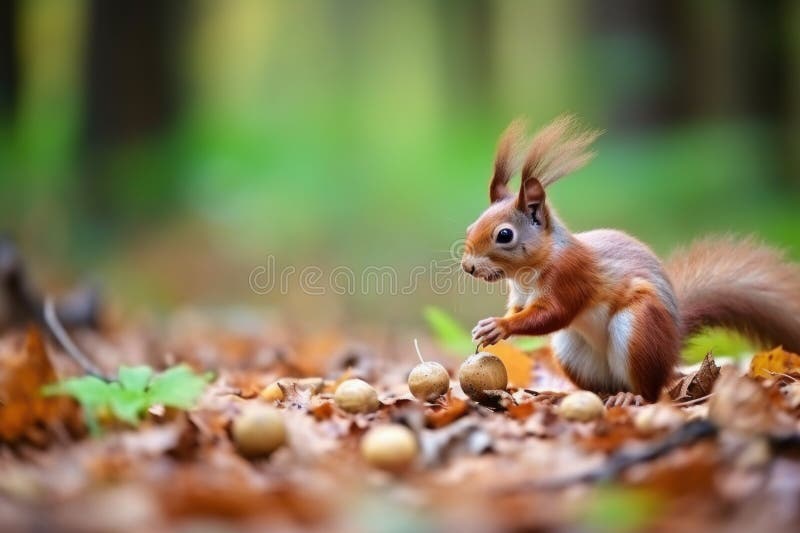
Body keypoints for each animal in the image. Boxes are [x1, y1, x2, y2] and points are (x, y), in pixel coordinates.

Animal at [461, 116, 800, 404]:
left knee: (649, 391)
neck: (529, 271)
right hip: (573, 351)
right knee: (604, 385)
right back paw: (586, 394)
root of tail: (670, 348)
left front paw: (500, 326)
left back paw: (631, 397)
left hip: (639, 328)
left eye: (505, 235)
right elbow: (521, 310)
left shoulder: (570, 277)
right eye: (471, 226)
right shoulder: (521, 295)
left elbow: (552, 315)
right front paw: (488, 326)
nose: (468, 267)